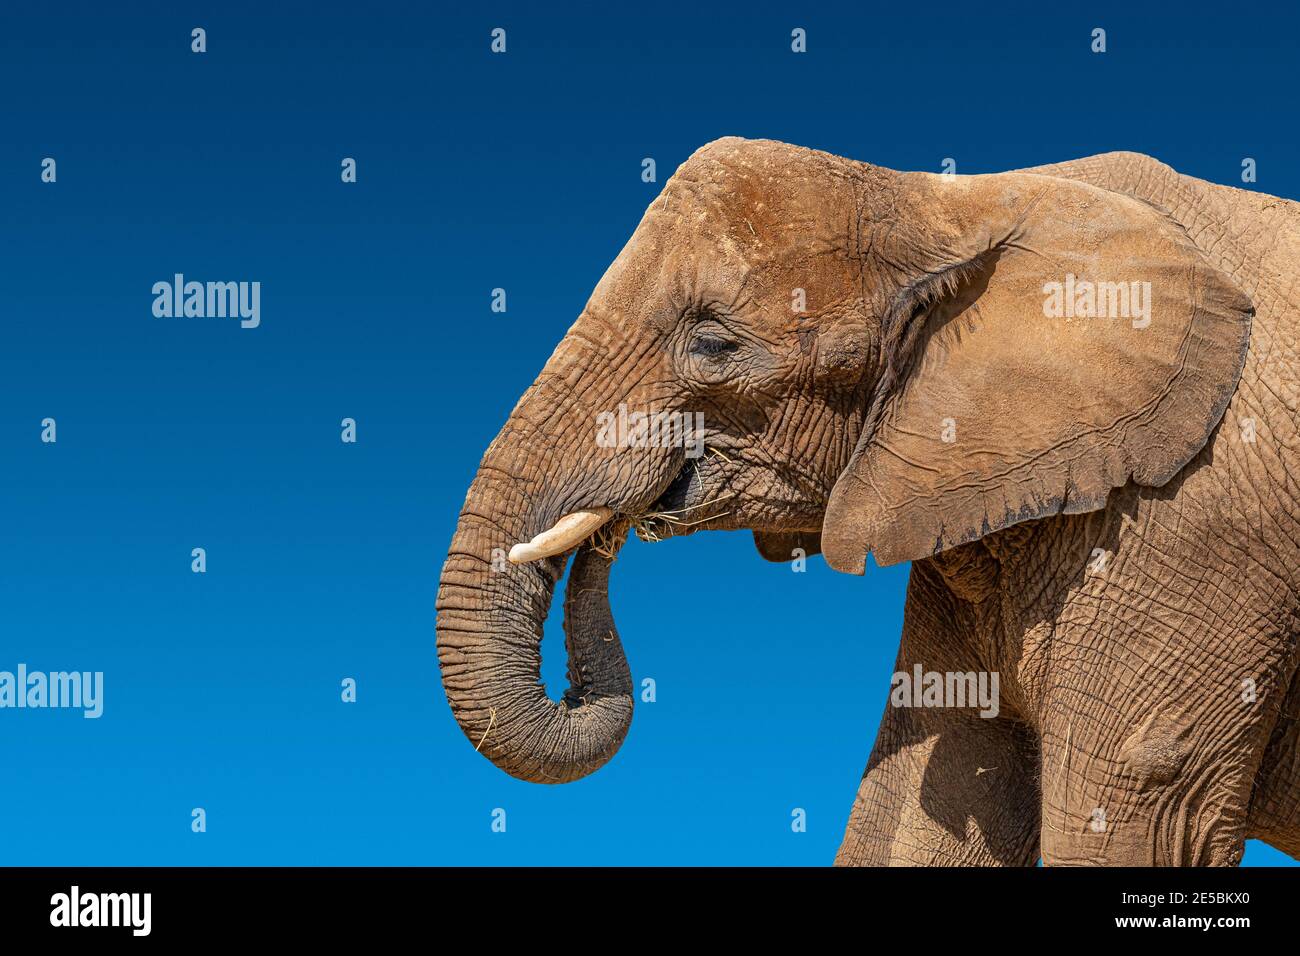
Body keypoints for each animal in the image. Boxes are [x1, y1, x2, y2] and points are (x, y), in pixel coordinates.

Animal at [435, 138, 1300, 866]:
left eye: (712, 343)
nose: (617, 523)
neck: (955, 203)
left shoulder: (1196, 519)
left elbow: (1142, 796)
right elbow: (931, 790)